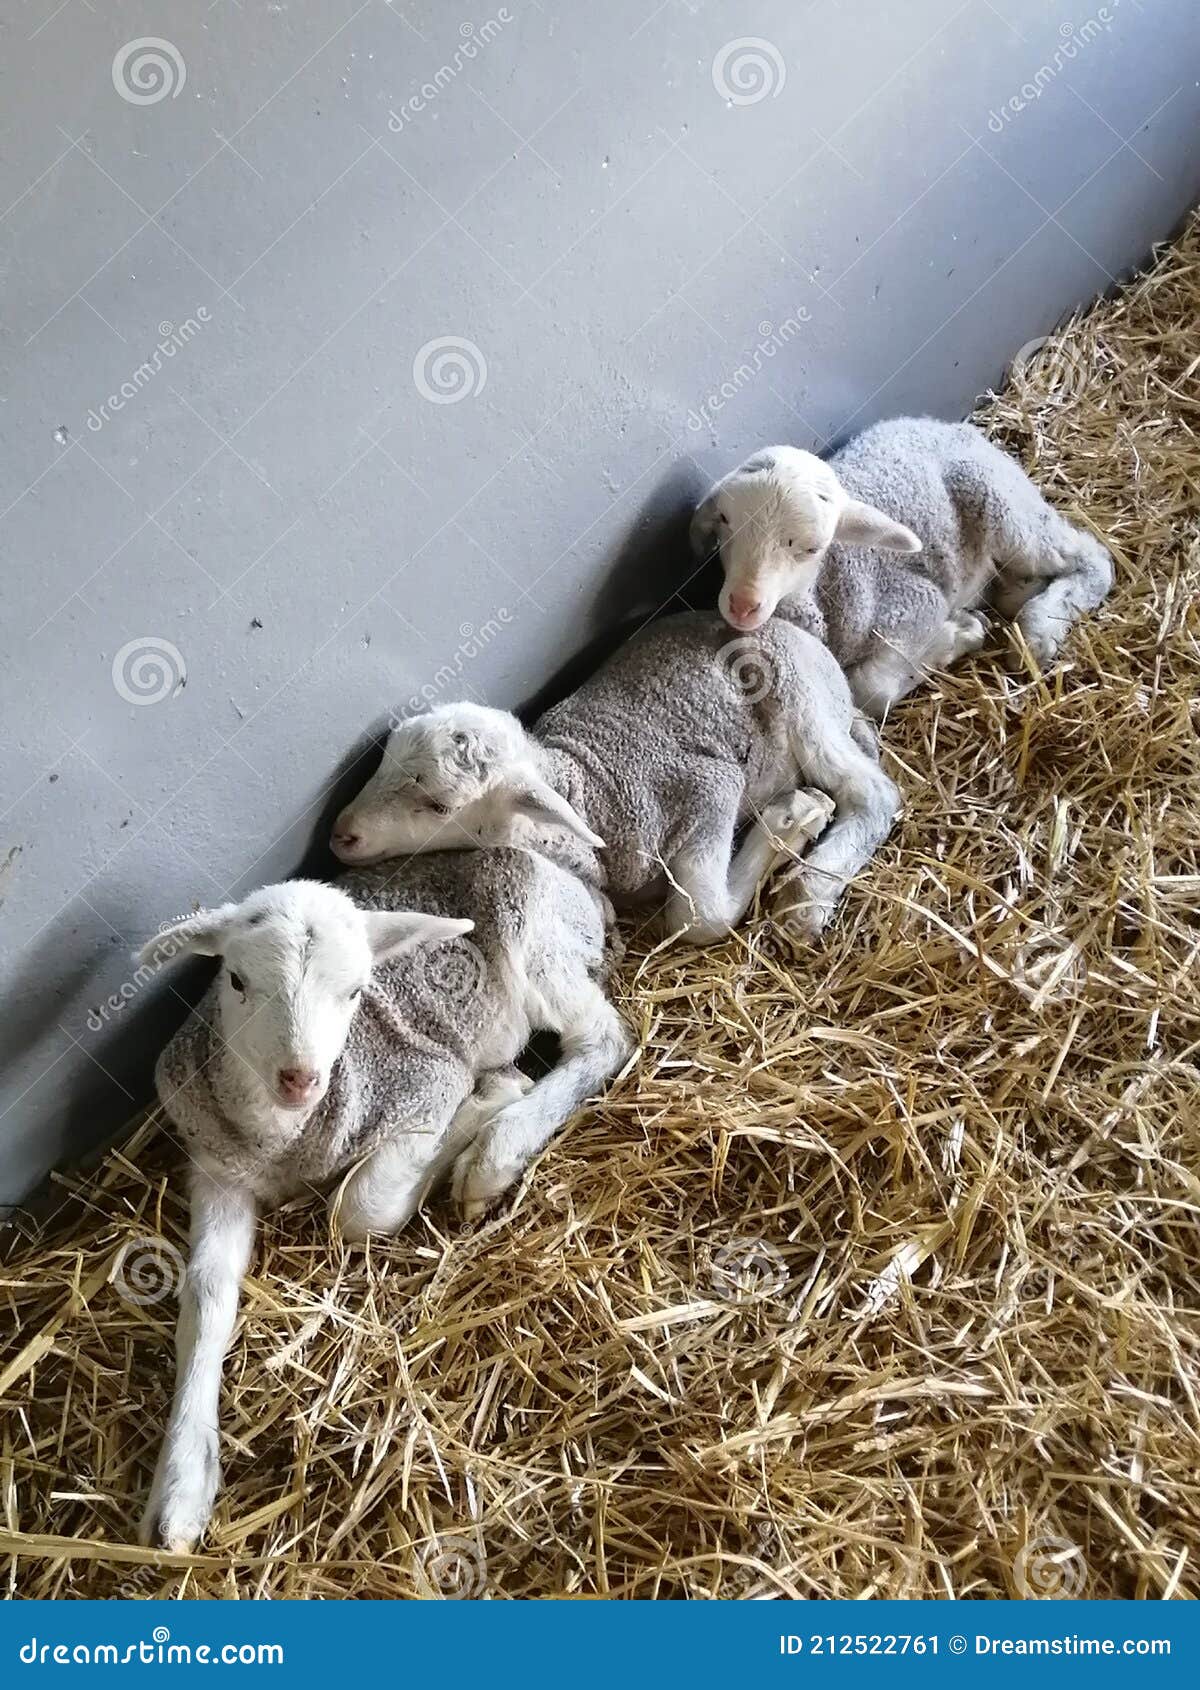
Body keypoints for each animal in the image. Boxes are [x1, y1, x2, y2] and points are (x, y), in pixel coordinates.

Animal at [137, 852, 632, 1552]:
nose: (301, 1078)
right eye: (236, 980)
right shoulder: (215, 1167)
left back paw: (497, 1151)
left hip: (537, 937)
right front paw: (180, 1491)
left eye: (354, 992)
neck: (282, 1136)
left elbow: (362, 1209)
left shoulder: (426, 1083)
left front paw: (490, 1099)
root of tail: (570, 874)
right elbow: (206, 1293)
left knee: (603, 1039)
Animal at [330, 610, 901, 943]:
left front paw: (791, 818)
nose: (341, 835)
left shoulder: (709, 788)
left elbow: (699, 917)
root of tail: (810, 641)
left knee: (874, 793)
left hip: (798, 694)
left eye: (439, 806)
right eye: (381, 762)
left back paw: (809, 892)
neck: (586, 786)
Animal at [691, 416, 1115, 716]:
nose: (743, 605)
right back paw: (1019, 592)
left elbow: (871, 690)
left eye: (813, 548)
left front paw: (960, 633)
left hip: (1000, 503)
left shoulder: (914, 602)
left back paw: (1039, 629)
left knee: (1092, 557)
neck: (828, 585)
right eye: (724, 521)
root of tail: (952, 427)